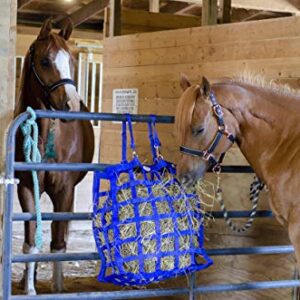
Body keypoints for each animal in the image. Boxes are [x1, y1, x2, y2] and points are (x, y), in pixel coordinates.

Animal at [13, 17, 94, 294]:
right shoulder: (27, 188)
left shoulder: (64, 191)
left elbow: (58, 243)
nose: (72, 105)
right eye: (45, 61)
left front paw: (58, 288)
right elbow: (30, 243)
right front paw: (29, 288)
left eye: (71, 61)